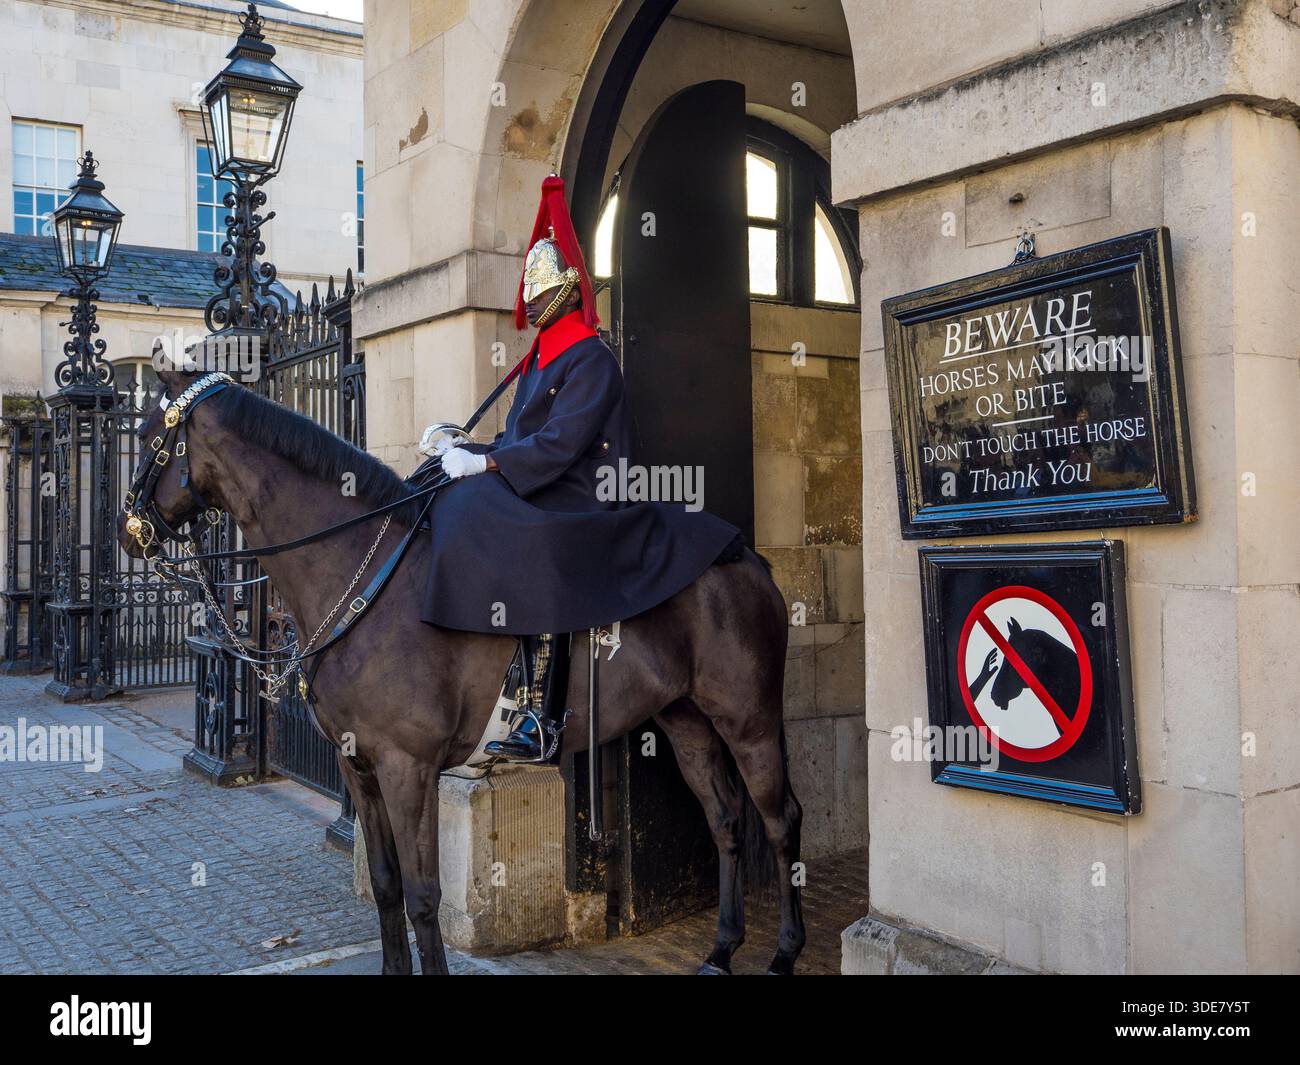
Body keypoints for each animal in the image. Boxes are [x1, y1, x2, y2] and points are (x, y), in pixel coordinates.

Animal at [117, 370, 805, 976]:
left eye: (150, 434)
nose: (129, 532)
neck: (362, 575)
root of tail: (749, 558)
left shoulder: (409, 767)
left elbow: (425, 897)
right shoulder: (357, 765)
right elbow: (388, 887)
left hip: (748, 720)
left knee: (780, 819)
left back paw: (784, 952)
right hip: (686, 718)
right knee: (725, 821)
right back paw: (722, 949)